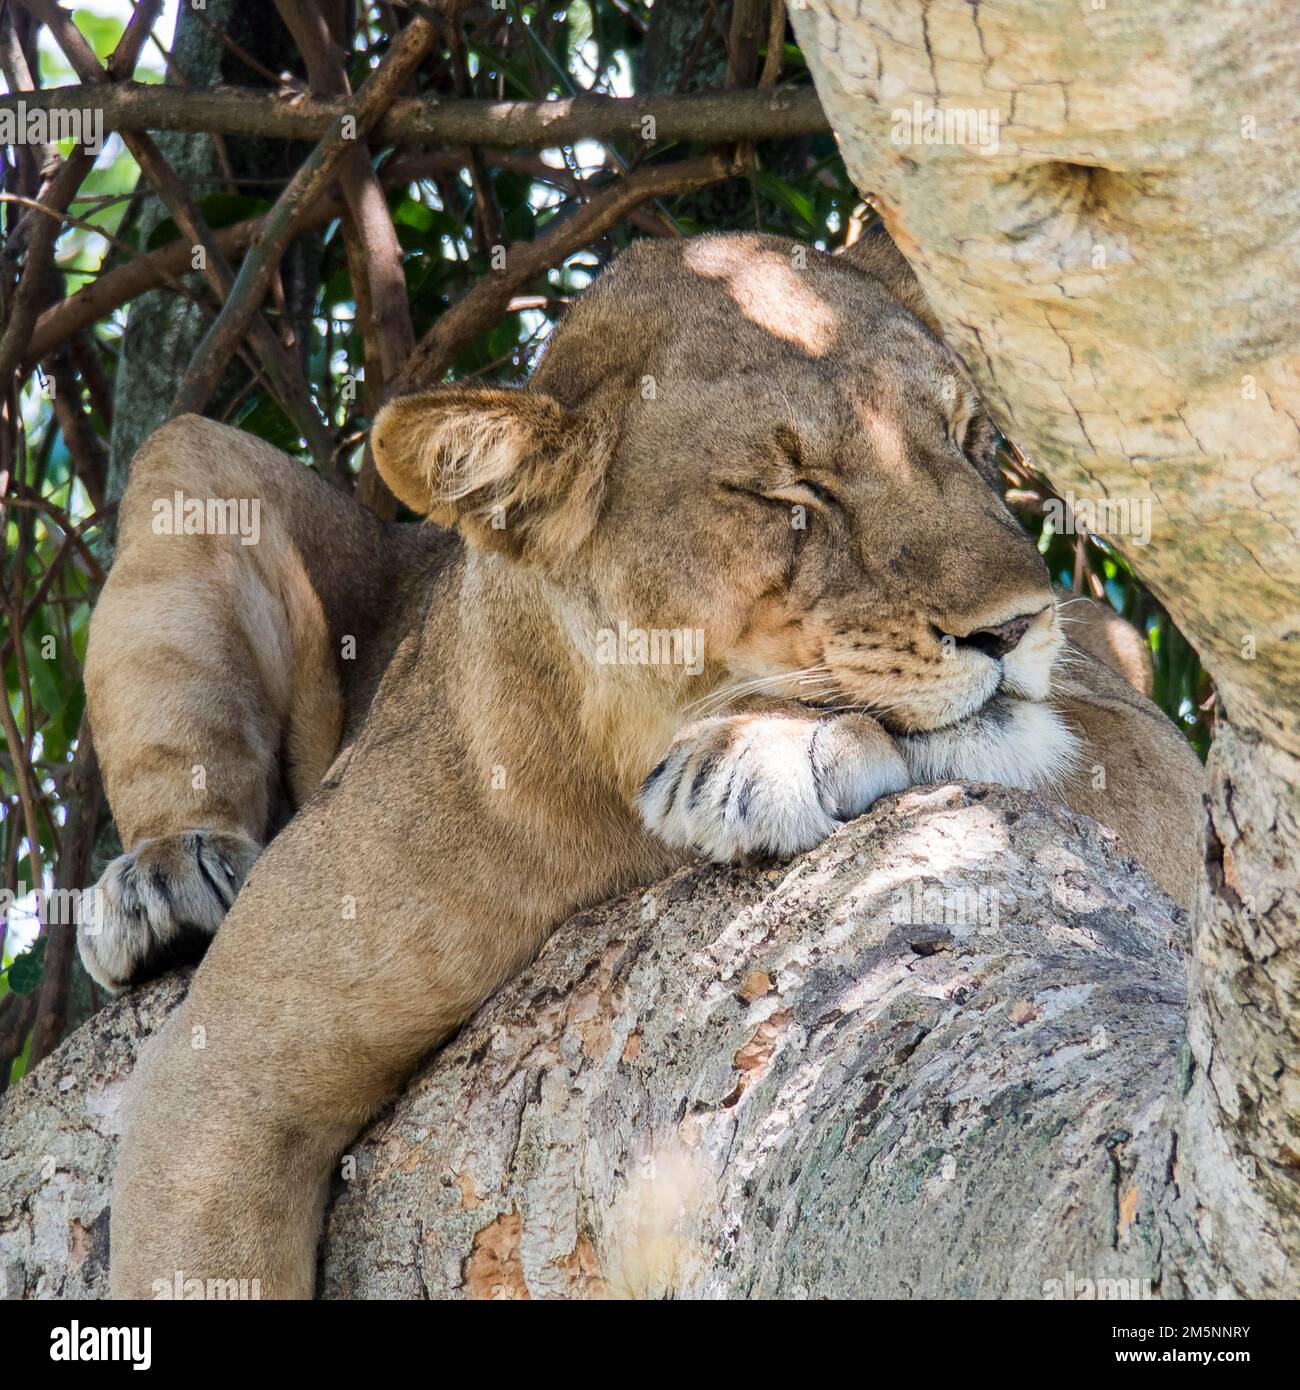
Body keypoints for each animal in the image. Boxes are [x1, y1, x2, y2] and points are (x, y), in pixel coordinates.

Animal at [78, 226, 1203, 1298]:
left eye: (974, 443)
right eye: (790, 494)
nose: (1016, 627)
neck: (613, 791)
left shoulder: (1144, 729)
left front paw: (766, 748)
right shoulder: (224, 1081)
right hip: (197, 458)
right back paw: (167, 881)